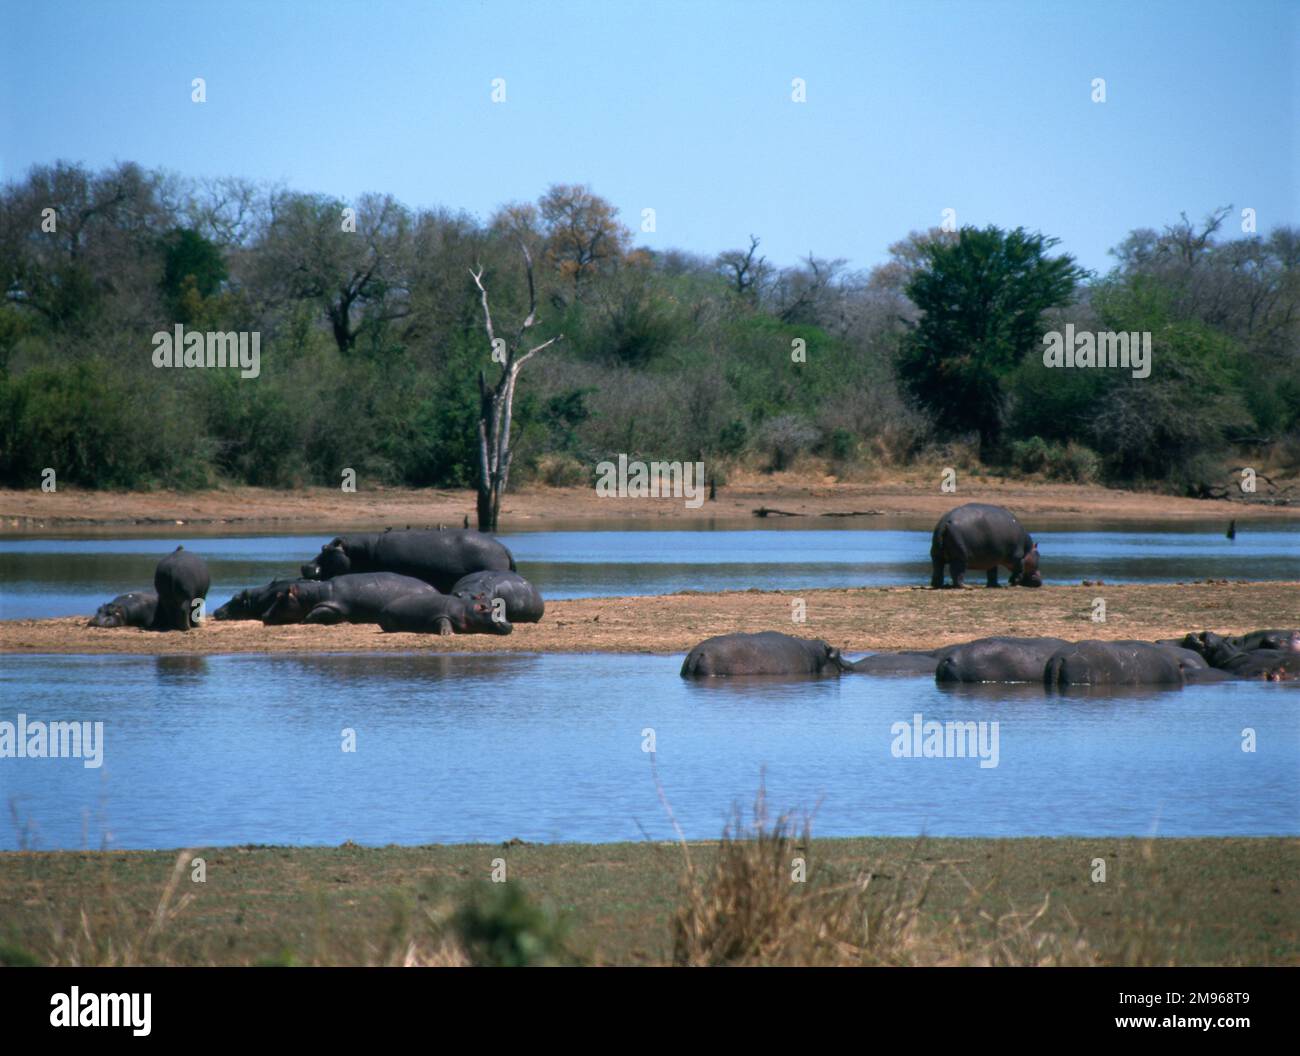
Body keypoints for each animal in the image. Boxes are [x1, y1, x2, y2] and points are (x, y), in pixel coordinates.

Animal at [261, 573, 437, 625]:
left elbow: (316, 612)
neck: (310, 595)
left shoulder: (334, 606)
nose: (263, 615)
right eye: (277, 595)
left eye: (281, 597)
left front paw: (303, 620)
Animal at [377, 593, 512, 636]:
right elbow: (444, 621)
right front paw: (448, 633)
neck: (466, 610)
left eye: (497, 607)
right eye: (484, 608)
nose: (510, 625)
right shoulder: (442, 614)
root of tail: (384, 608)